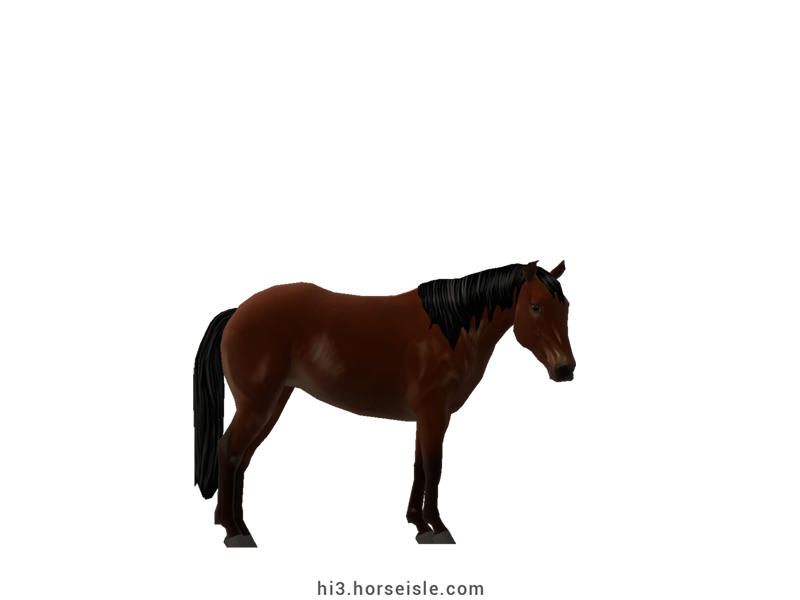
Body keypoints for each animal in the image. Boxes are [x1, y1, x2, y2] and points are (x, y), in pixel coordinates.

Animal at [194, 260, 574, 546]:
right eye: (536, 305)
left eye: (562, 304)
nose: (564, 367)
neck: (449, 329)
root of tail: (238, 312)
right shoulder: (433, 410)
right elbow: (434, 465)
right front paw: (439, 528)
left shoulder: (426, 413)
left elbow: (421, 465)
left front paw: (419, 525)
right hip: (254, 405)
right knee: (228, 452)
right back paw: (233, 532)